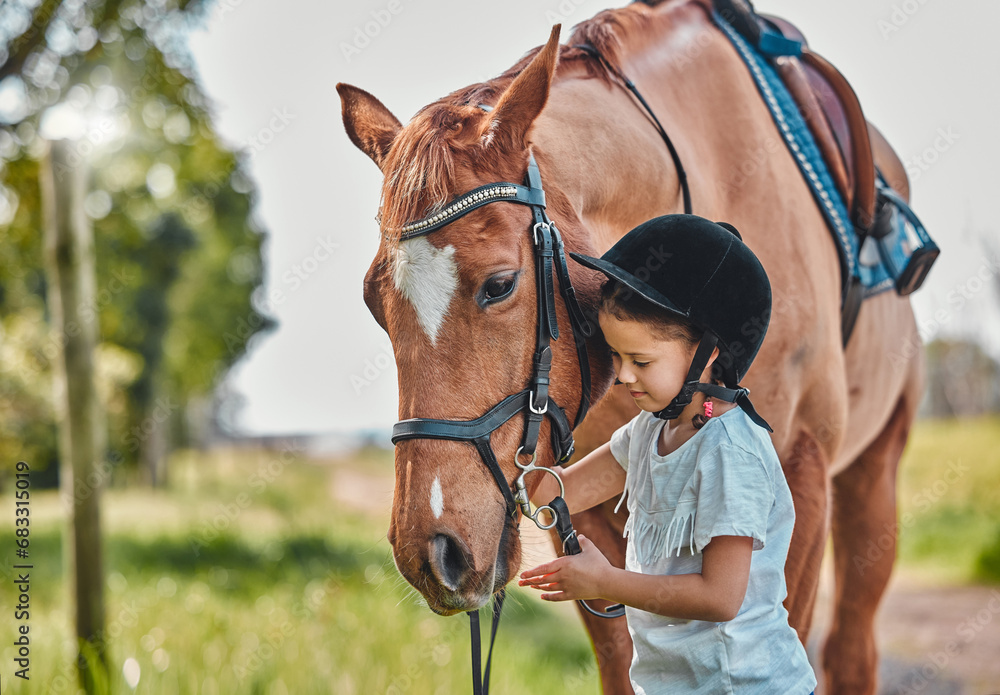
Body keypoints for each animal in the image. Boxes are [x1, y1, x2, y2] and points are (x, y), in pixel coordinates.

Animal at [337, 1, 923, 692]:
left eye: (499, 284)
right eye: (373, 301)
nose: (432, 554)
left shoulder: (801, 476)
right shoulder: (579, 495)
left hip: (871, 474)